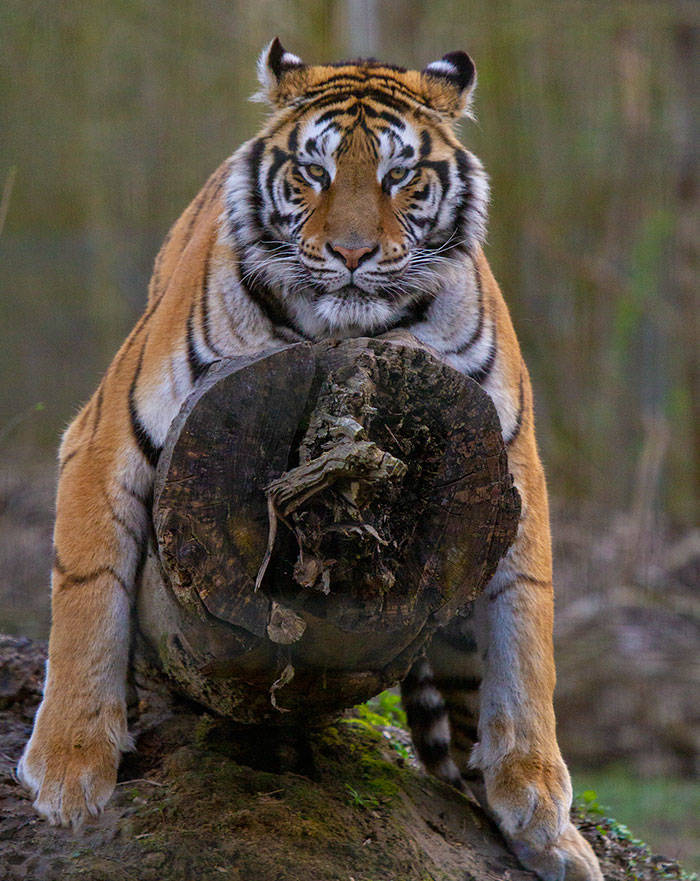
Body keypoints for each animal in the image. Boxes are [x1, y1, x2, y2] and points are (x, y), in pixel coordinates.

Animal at [18, 39, 603, 880]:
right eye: (314, 172)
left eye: (400, 176)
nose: (352, 253)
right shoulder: (104, 437)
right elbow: (87, 595)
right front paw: (68, 775)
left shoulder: (513, 460)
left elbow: (527, 634)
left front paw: (543, 817)